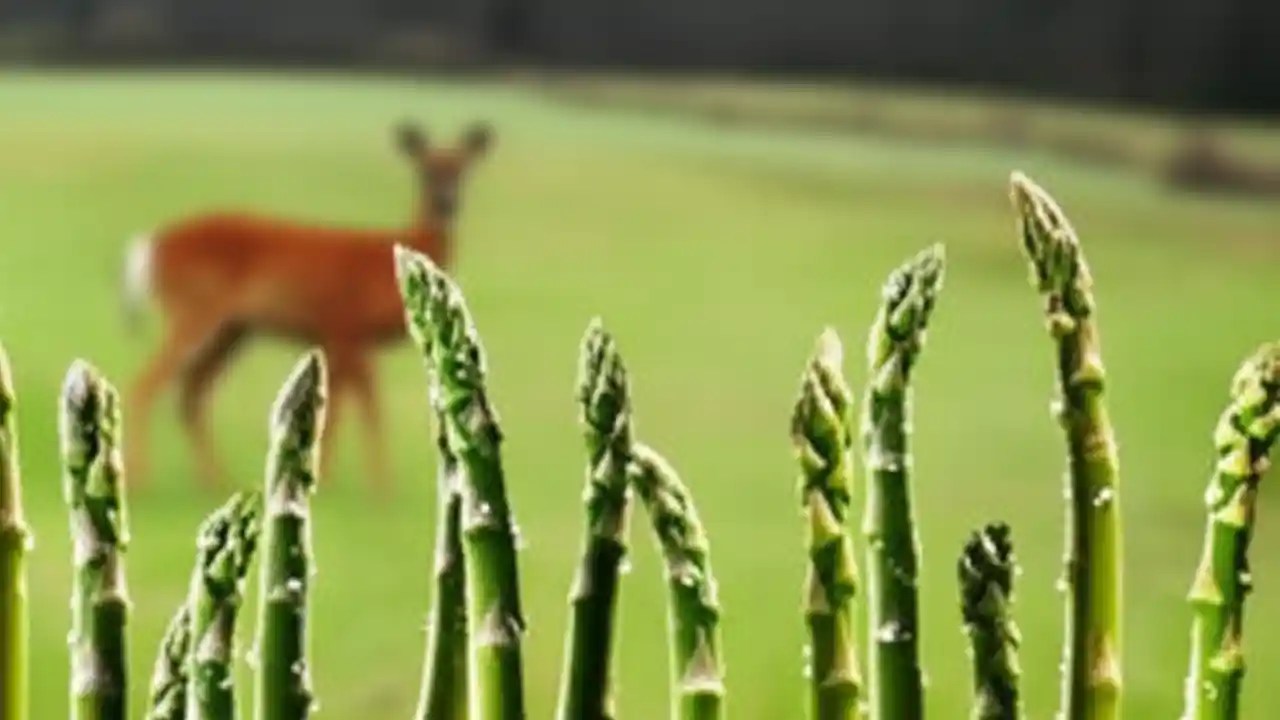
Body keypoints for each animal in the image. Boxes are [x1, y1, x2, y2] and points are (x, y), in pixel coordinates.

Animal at [122, 120, 494, 492]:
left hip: (233, 329)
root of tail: (152, 245)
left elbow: (351, 408)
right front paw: (368, 486)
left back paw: (215, 481)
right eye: (425, 170)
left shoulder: (345, 339)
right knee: (146, 384)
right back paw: (142, 479)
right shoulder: (346, 328)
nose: (447, 204)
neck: (388, 262)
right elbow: (359, 409)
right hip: (194, 310)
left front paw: (353, 483)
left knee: (190, 395)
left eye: (463, 169)